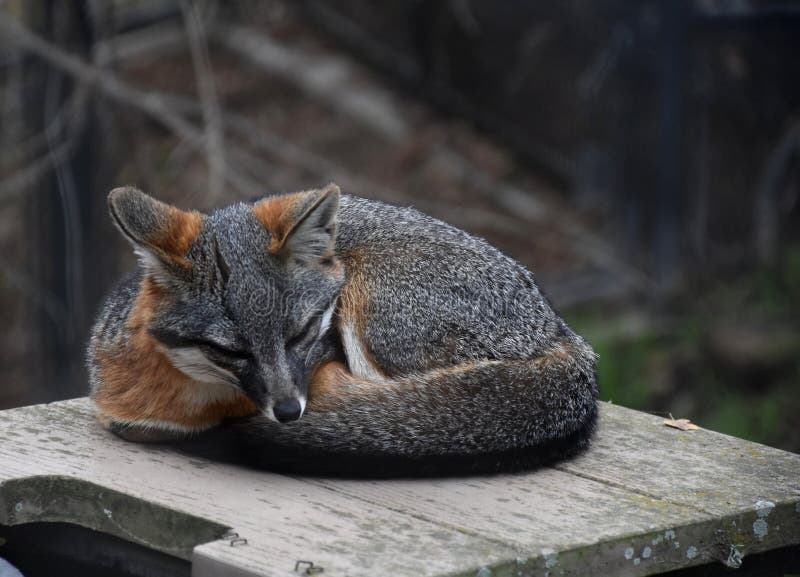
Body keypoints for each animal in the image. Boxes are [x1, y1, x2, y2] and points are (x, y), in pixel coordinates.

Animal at [87, 183, 598, 475]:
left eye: (302, 333)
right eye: (233, 351)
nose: (289, 412)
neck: (201, 403)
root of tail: (564, 334)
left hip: (370, 302)